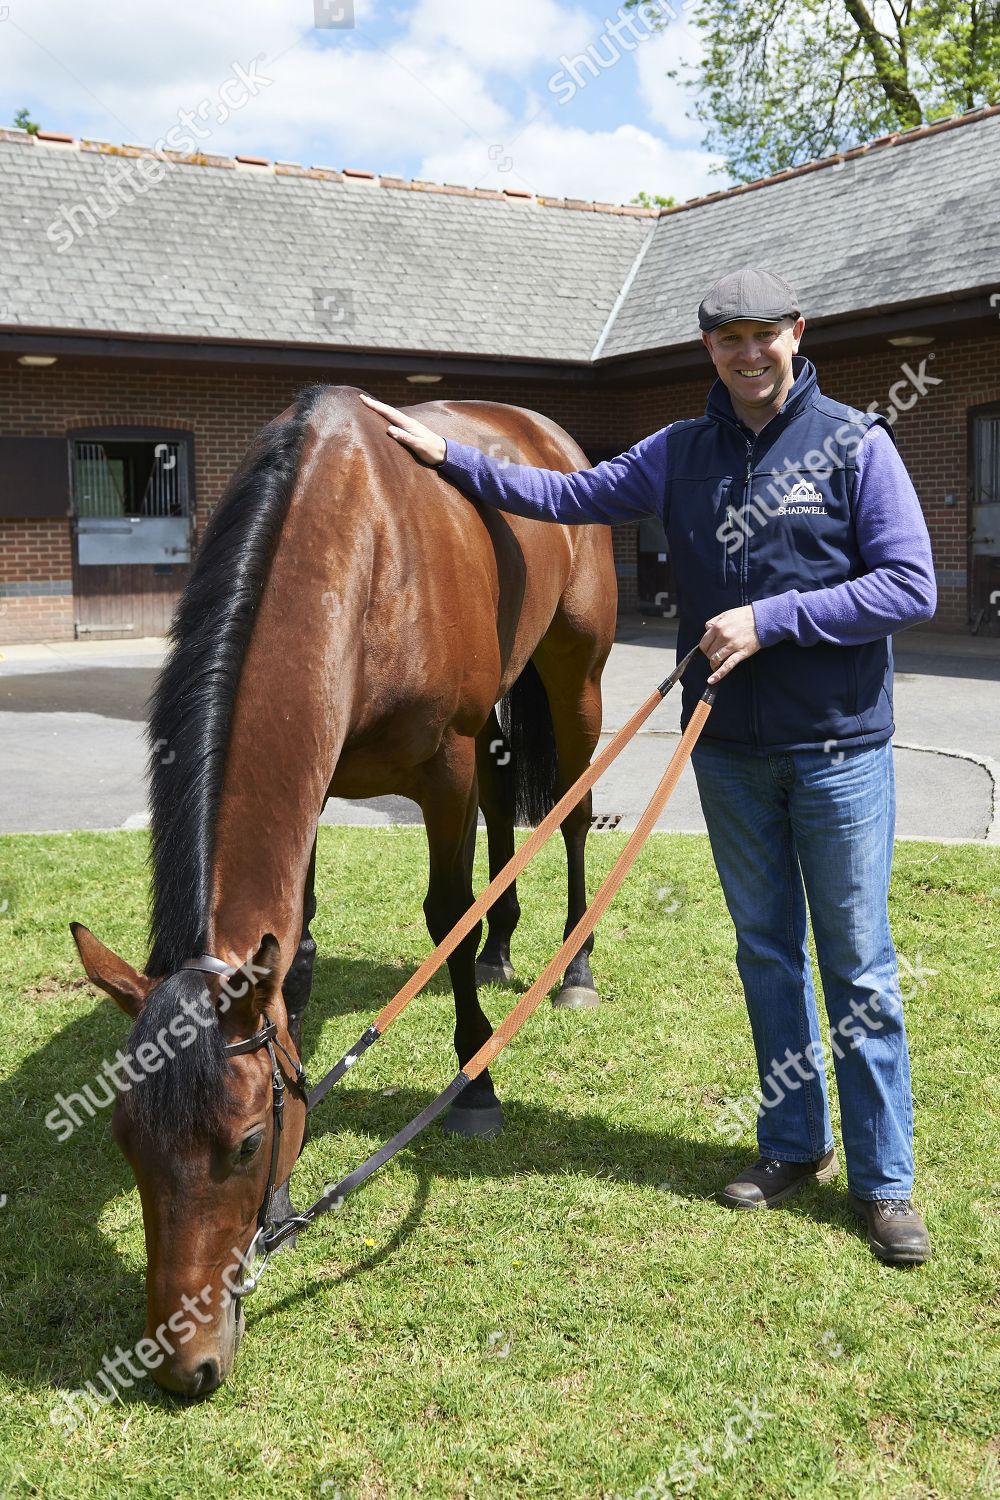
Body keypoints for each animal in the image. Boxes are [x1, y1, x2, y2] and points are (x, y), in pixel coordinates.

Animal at [70, 383, 618, 1395]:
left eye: (247, 1140)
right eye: (125, 1136)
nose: (183, 1366)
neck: (358, 553)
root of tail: (543, 429)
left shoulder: (442, 765)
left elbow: (444, 914)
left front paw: (476, 1079)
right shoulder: (318, 782)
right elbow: (301, 950)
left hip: (576, 670)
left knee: (569, 809)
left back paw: (574, 966)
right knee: (504, 810)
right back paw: (506, 945)